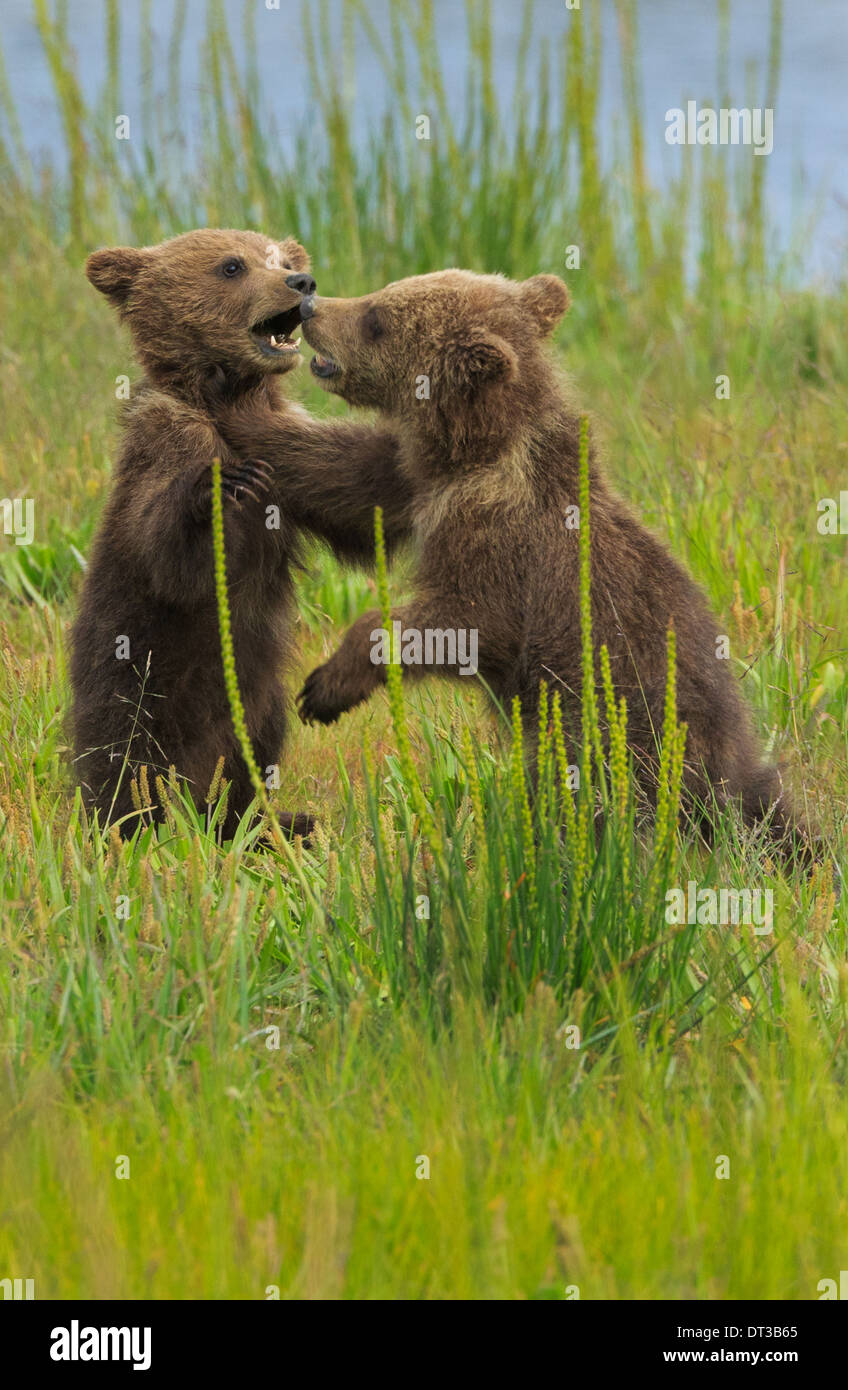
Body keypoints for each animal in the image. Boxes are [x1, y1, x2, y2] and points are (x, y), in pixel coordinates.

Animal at [71, 229, 412, 838]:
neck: (223, 392)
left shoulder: (288, 458)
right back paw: (130, 824)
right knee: (125, 753)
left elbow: (354, 498)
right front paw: (215, 489)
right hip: (136, 671)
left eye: (279, 258)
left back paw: (271, 823)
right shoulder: (165, 442)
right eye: (232, 266)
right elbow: (173, 558)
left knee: (253, 748)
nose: (301, 282)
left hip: (254, 698)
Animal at [222, 267, 814, 859]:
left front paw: (325, 687)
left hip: (610, 728)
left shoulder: (506, 549)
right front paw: (241, 416)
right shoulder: (412, 482)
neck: (478, 455)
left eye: (377, 320)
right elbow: (338, 474)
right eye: (385, 293)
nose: (312, 308)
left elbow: (465, 620)